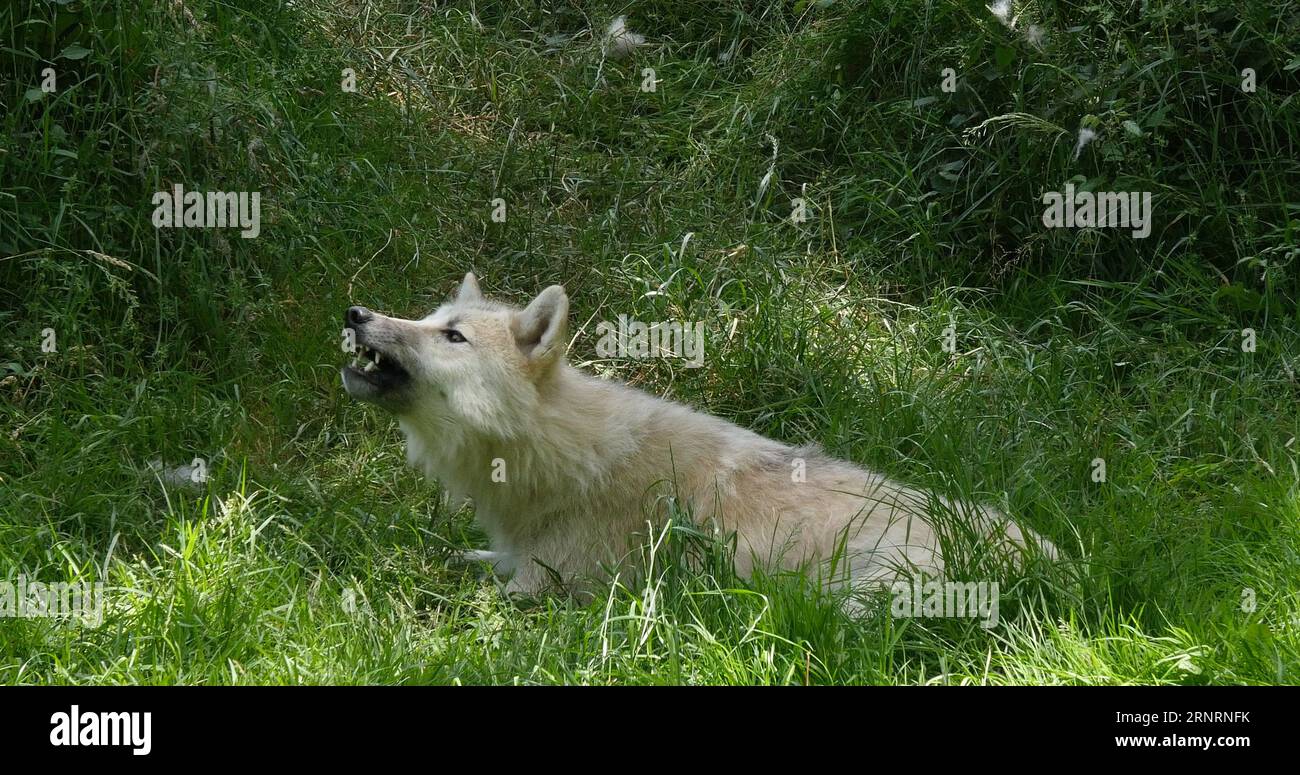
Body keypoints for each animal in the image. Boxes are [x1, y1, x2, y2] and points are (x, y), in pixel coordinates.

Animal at [341, 273, 1055, 602]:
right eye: (430, 318)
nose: (356, 312)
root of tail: (1060, 560)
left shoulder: (547, 589)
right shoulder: (511, 555)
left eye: (452, 336)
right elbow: (455, 559)